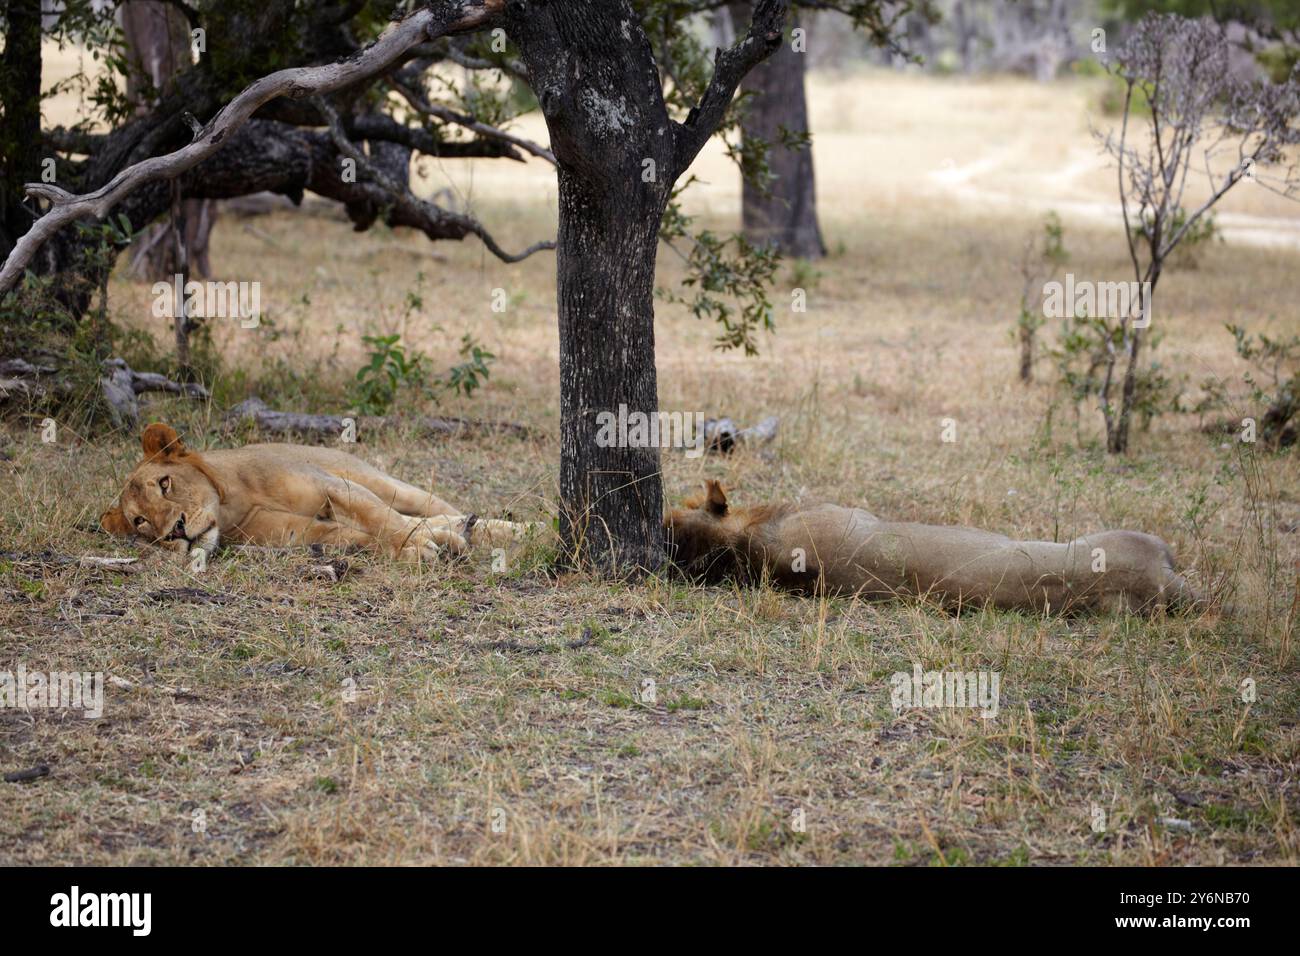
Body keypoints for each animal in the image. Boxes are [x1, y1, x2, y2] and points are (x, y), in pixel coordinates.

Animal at [101, 423, 535, 562]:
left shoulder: (332, 486)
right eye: (140, 521)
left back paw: (512, 530)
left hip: (379, 481)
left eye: (165, 483)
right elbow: (362, 536)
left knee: (430, 506)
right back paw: (459, 531)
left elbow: (384, 520)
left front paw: (421, 543)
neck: (232, 503)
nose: (174, 531)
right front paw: (416, 548)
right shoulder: (299, 531)